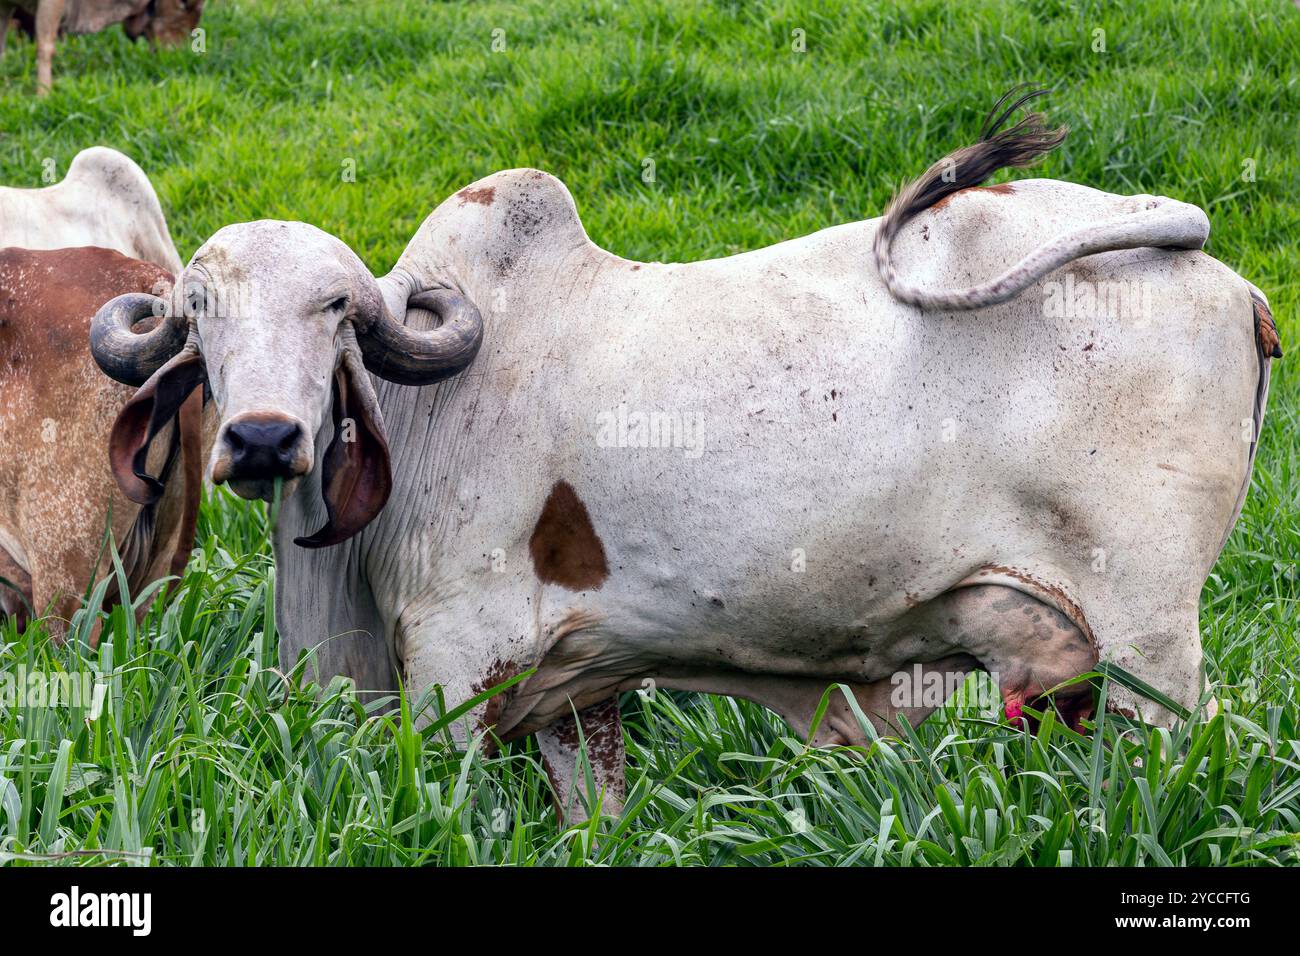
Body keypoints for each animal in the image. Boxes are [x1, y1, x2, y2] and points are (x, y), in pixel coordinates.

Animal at [91, 90, 1280, 821]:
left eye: (335, 309)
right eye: (199, 312)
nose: (262, 438)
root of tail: (1229, 280)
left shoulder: (455, 663)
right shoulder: (575, 690)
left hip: (1148, 639)